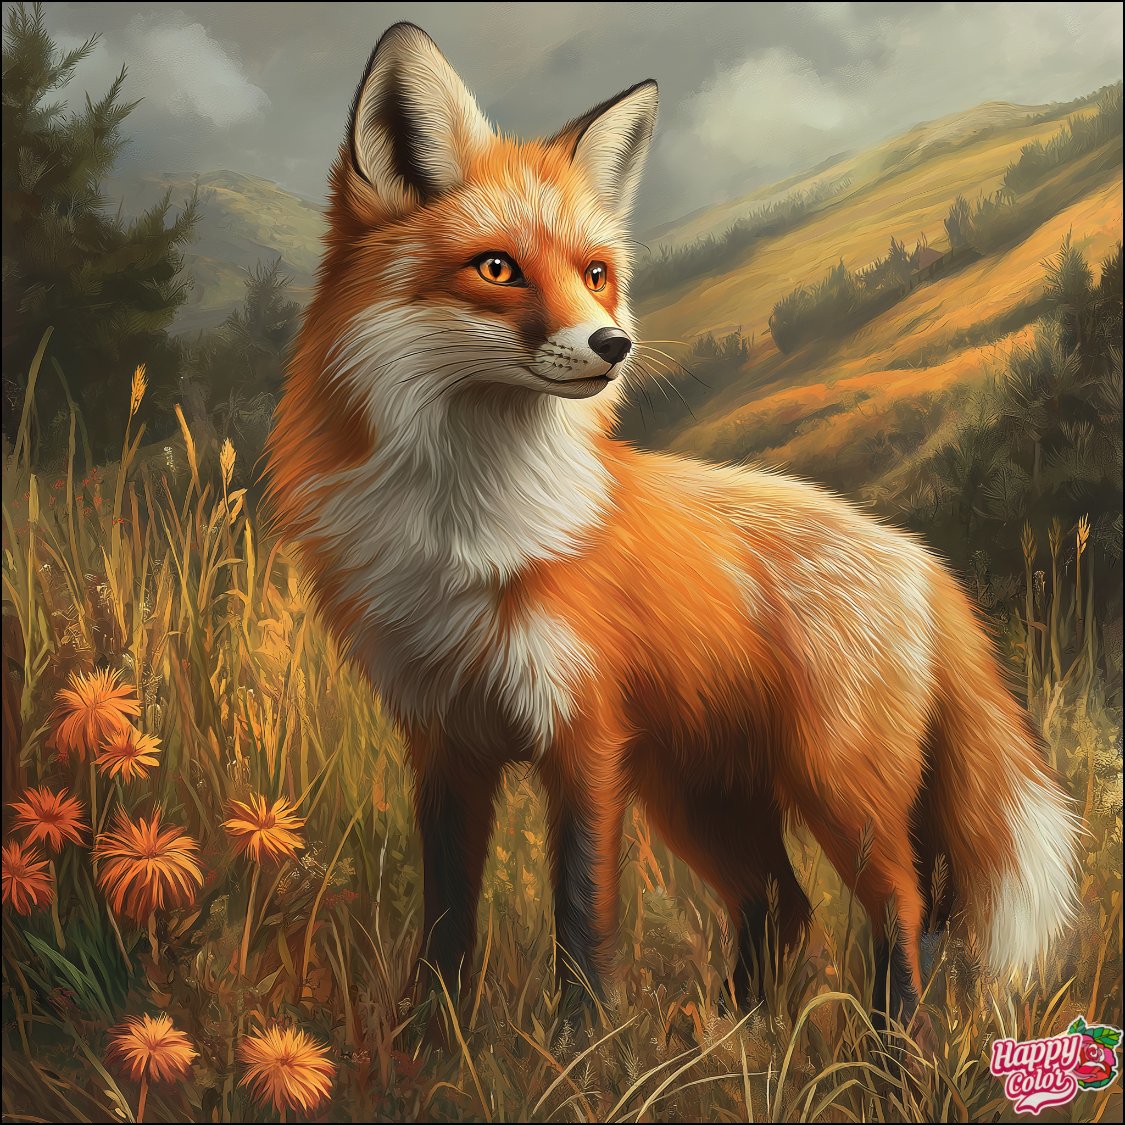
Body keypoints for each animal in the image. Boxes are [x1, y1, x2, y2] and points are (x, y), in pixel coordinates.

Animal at [265, 22, 1080, 1029]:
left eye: (596, 274)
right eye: (497, 268)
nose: (613, 345)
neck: (468, 523)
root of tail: (919, 558)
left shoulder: (582, 737)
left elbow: (580, 916)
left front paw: (578, 1048)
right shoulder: (445, 740)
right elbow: (447, 917)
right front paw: (429, 1036)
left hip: (833, 783)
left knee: (902, 902)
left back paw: (890, 1045)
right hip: (699, 796)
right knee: (783, 903)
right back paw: (738, 1035)